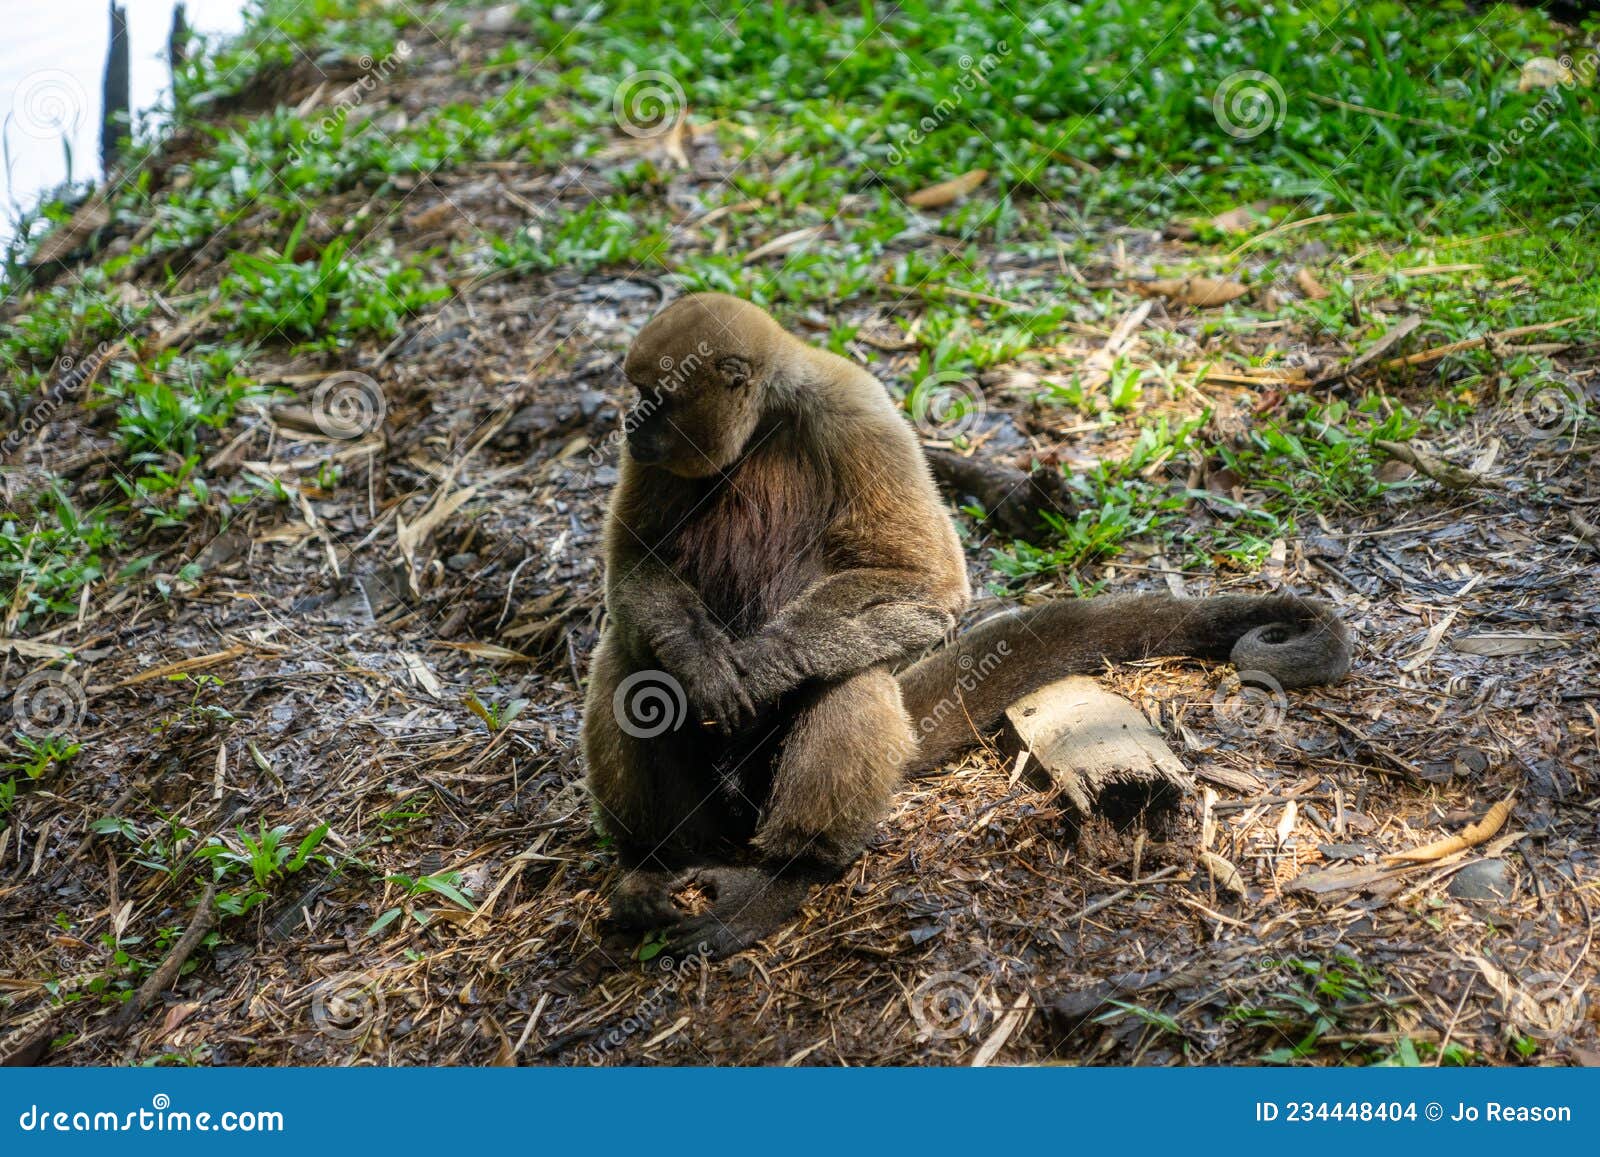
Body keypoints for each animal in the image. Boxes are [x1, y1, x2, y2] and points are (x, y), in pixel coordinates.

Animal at [580, 292, 1350, 959]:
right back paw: (657, 862)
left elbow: (930, 586)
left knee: (847, 672)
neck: (762, 423)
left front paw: (761, 664)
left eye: (656, 397)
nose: (629, 426)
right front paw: (706, 662)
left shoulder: (855, 413)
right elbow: (633, 572)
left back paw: (784, 874)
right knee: (632, 661)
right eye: (637, 393)